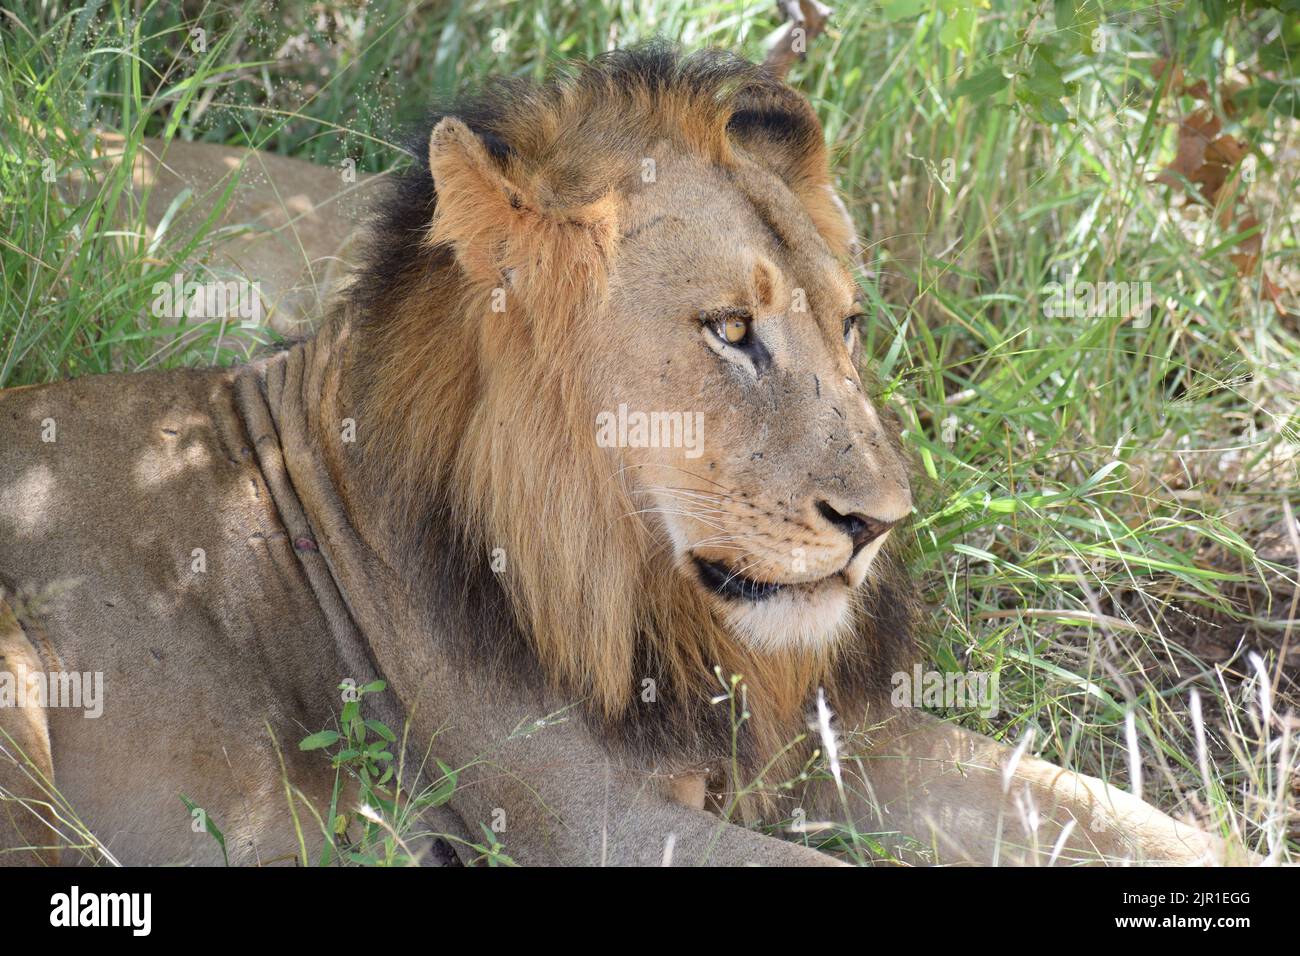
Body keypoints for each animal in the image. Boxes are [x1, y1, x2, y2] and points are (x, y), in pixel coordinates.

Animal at [0, 46, 1234, 866]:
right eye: (729, 331)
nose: (879, 524)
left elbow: (1088, 803)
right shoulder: (588, 819)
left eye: (847, 327)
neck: (639, 590)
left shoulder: (812, 740)